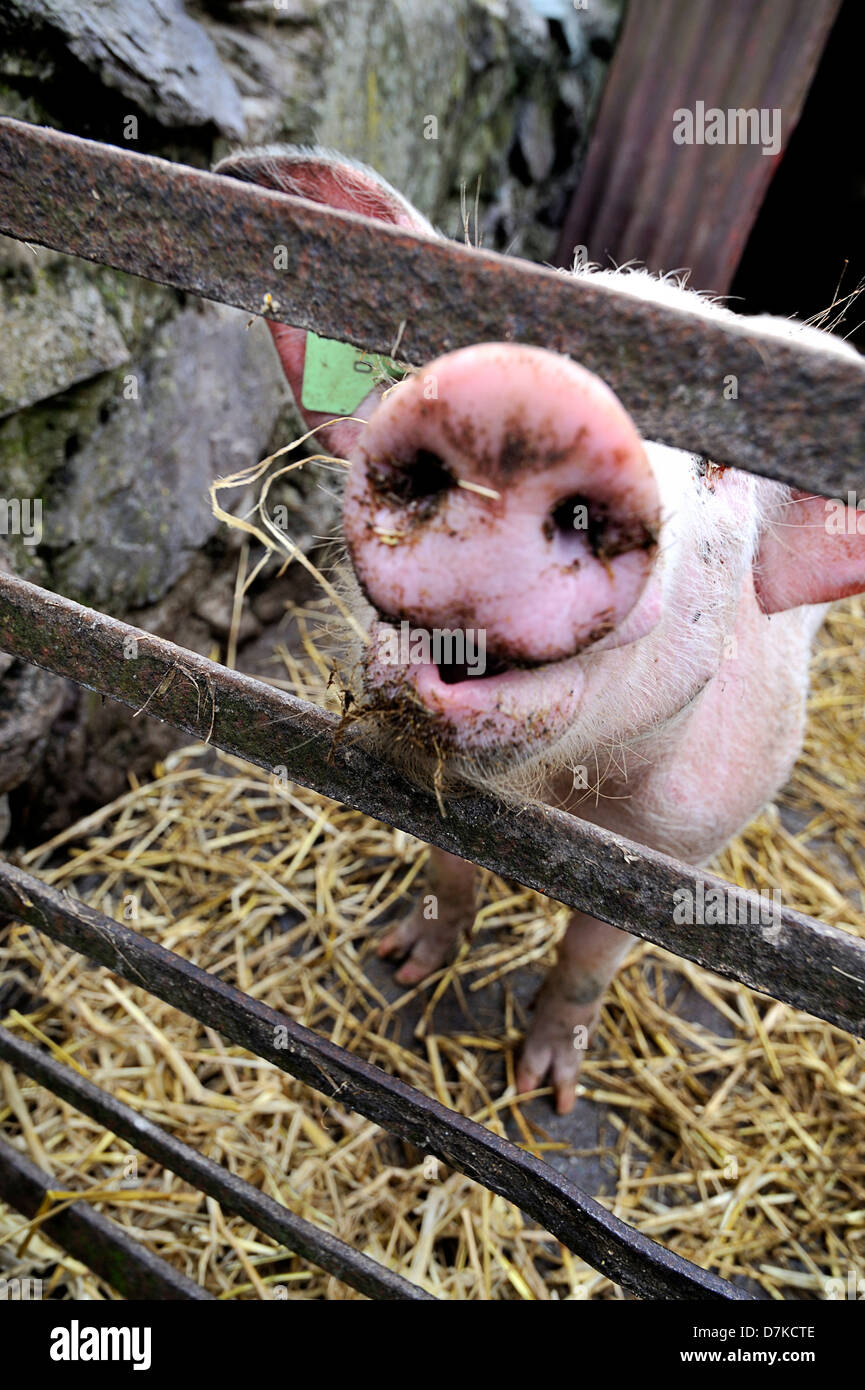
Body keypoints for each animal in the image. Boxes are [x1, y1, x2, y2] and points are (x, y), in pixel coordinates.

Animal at [215, 146, 865, 1114]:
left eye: (720, 459)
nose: (525, 393)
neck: (553, 794)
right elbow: (449, 871)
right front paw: (404, 966)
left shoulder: (687, 840)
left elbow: (590, 954)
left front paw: (543, 1095)